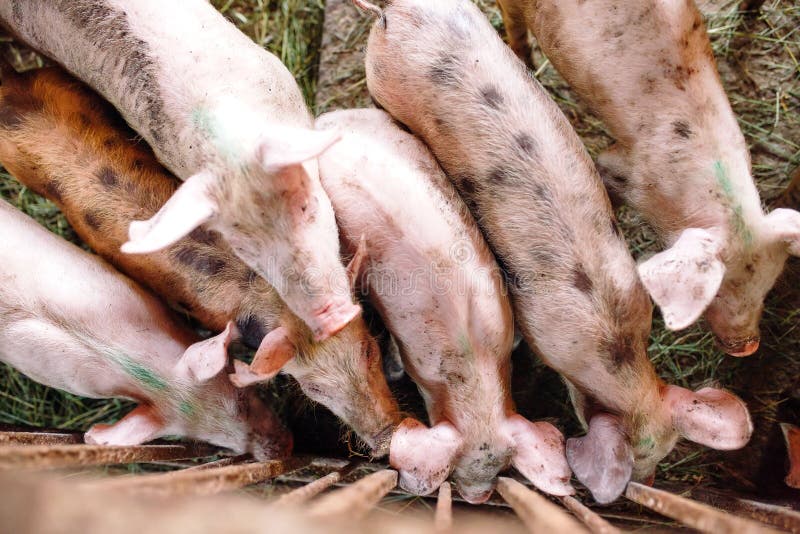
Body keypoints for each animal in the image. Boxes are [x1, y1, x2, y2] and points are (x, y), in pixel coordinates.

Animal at [315, 108, 573, 503]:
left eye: (503, 467)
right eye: (454, 471)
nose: (477, 498)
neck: (472, 362)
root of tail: (321, 122)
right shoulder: (412, 354)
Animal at [355, 0, 753, 503]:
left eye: (665, 454)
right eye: (639, 461)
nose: (646, 486)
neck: (612, 346)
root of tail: (396, 10)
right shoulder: (542, 331)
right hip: (381, 80)